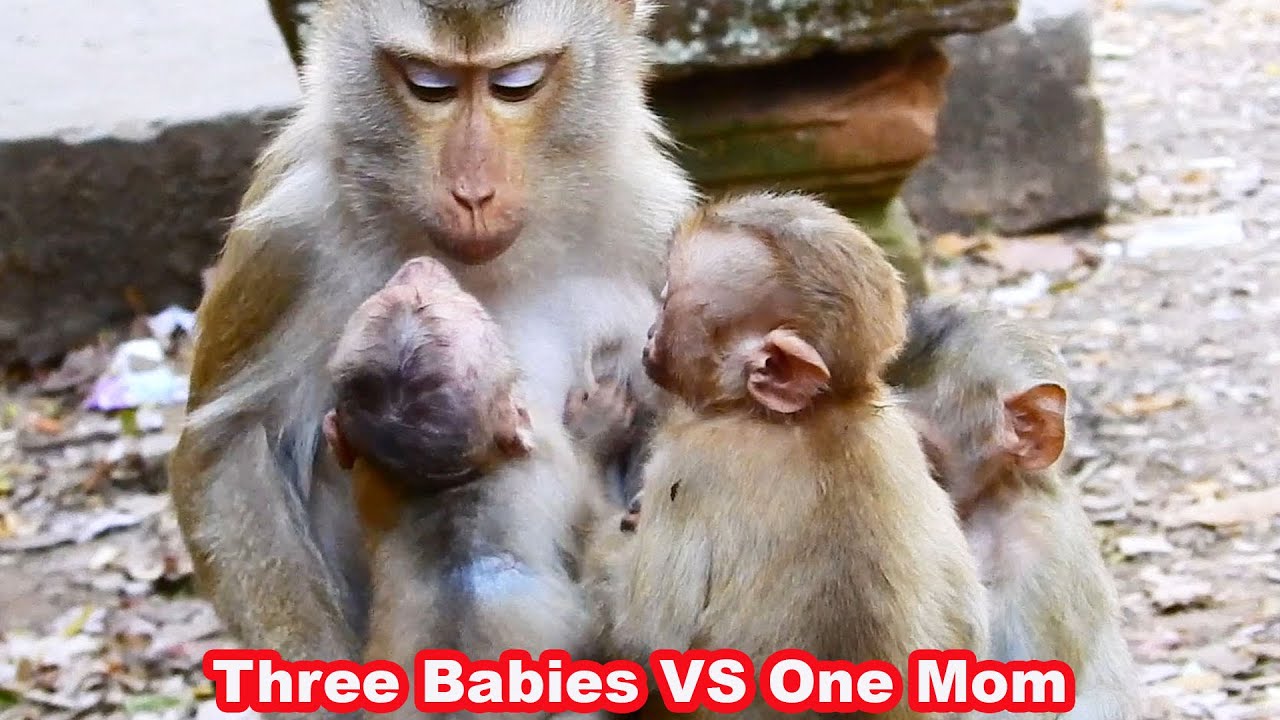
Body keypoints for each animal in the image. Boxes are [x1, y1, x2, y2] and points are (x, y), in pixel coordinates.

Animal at [320, 256, 608, 719]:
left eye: (406, 293)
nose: (419, 265)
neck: (449, 485)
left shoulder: (369, 482)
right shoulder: (554, 453)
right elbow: (595, 507)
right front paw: (600, 419)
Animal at [589, 192, 989, 719]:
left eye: (667, 299)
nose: (651, 334)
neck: (812, 414)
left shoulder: (692, 465)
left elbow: (647, 642)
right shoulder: (903, 434)